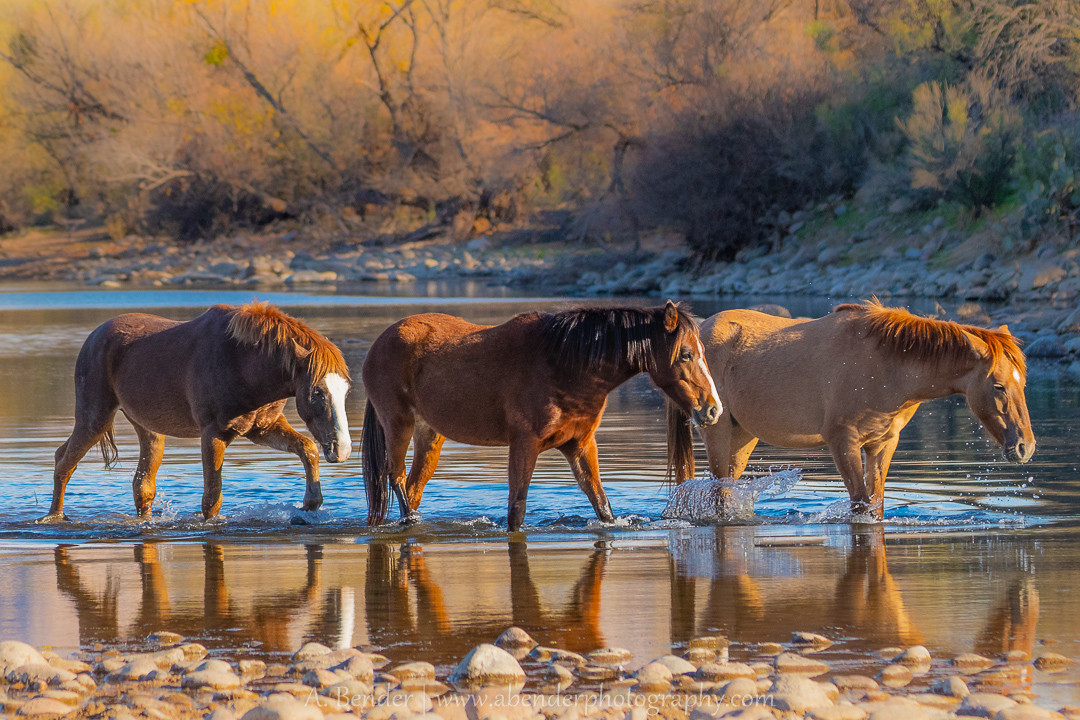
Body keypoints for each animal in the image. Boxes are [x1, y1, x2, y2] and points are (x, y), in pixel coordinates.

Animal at [42, 301, 352, 522]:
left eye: (346, 391)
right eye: (317, 392)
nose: (342, 449)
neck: (246, 365)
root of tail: (93, 337)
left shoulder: (262, 429)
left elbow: (307, 448)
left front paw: (311, 503)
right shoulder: (213, 433)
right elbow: (212, 499)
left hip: (148, 428)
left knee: (143, 486)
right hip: (94, 418)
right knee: (64, 462)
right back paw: (54, 517)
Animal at [361, 301, 722, 531]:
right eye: (686, 354)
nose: (713, 408)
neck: (564, 363)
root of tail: (380, 342)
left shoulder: (580, 445)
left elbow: (602, 505)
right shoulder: (524, 445)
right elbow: (517, 509)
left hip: (429, 434)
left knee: (412, 486)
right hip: (398, 424)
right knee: (395, 477)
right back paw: (409, 523)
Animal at [668, 299, 1035, 519]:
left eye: (1023, 382)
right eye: (999, 385)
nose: (1025, 447)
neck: (888, 366)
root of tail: (699, 331)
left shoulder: (883, 443)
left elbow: (875, 504)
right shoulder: (842, 442)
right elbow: (860, 504)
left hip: (742, 435)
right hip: (716, 430)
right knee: (719, 492)